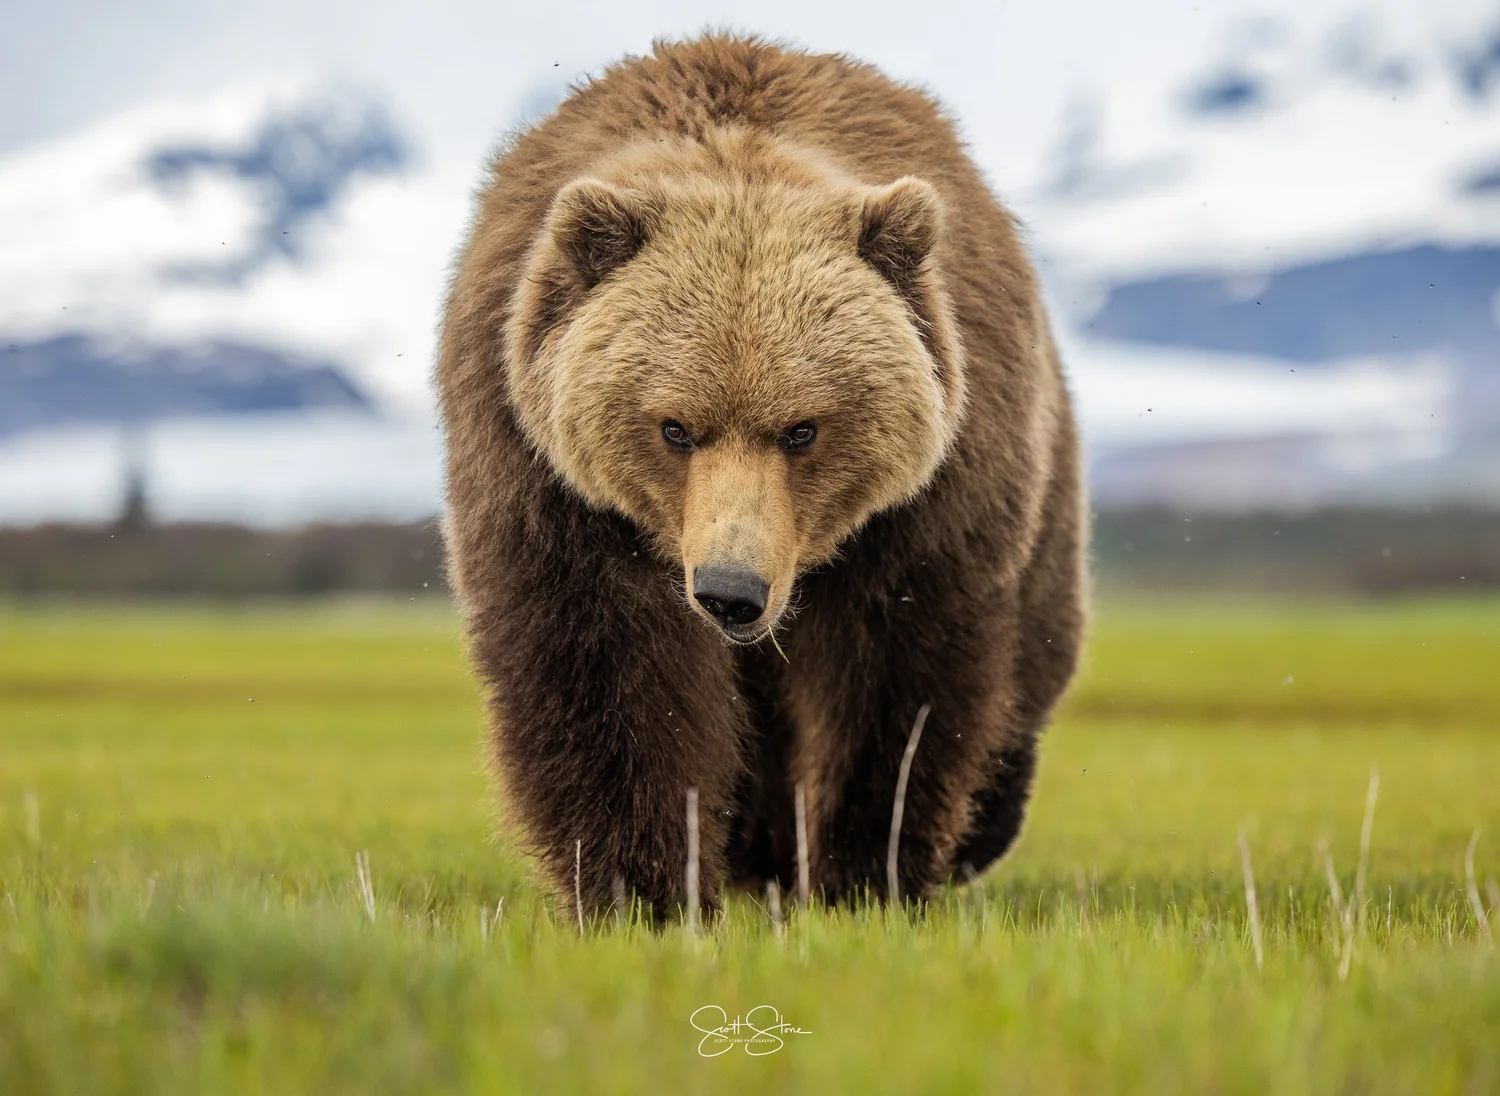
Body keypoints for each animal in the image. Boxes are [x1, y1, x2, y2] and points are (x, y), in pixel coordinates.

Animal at [438, 34, 1086, 921]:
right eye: (675, 427)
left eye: (802, 429)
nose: (731, 592)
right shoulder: (544, 473)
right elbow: (605, 671)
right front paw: (644, 890)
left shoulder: (931, 496)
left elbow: (895, 677)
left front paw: (864, 876)